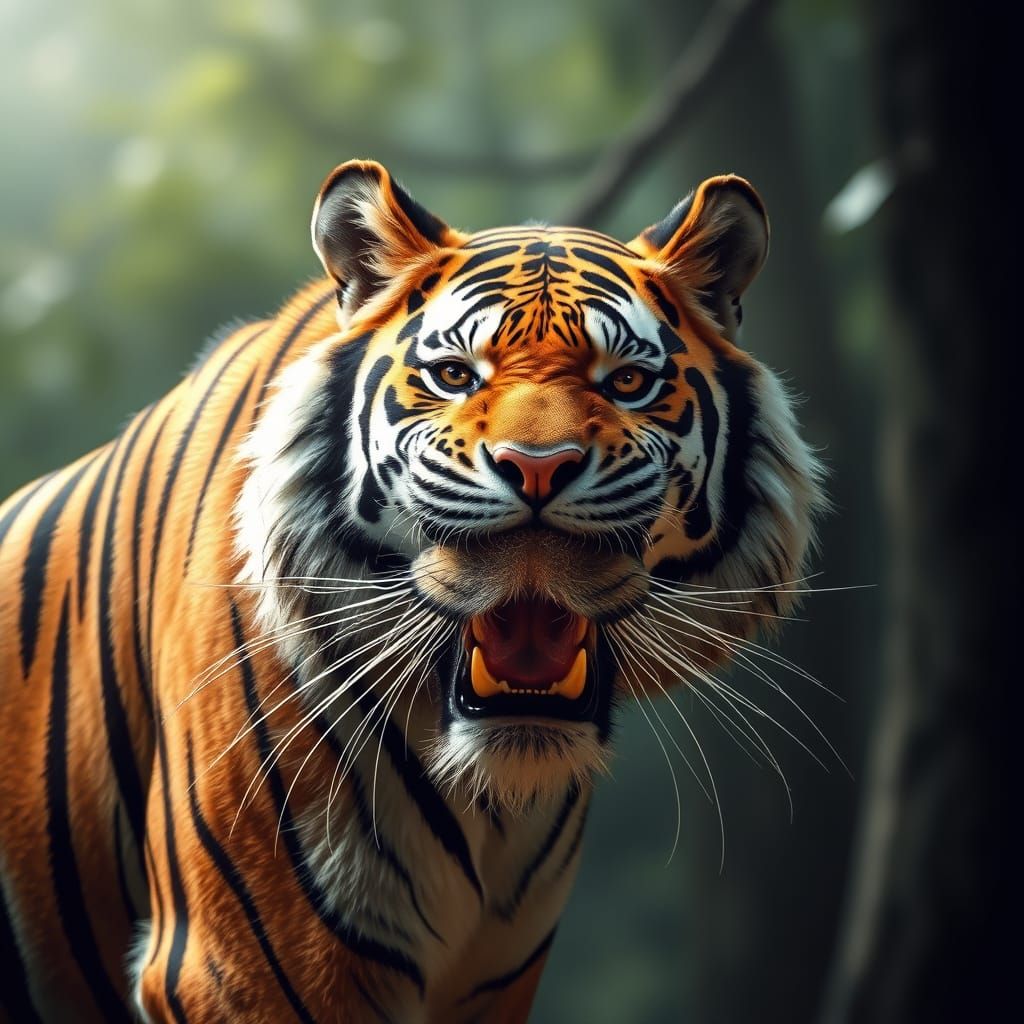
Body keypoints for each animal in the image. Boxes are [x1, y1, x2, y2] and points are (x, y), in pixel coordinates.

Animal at [0, 159, 823, 1023]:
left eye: (628, 382)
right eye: (455, 376)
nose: (538, 468)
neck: (490, 803)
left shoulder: (492, 984)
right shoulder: (243, 967)